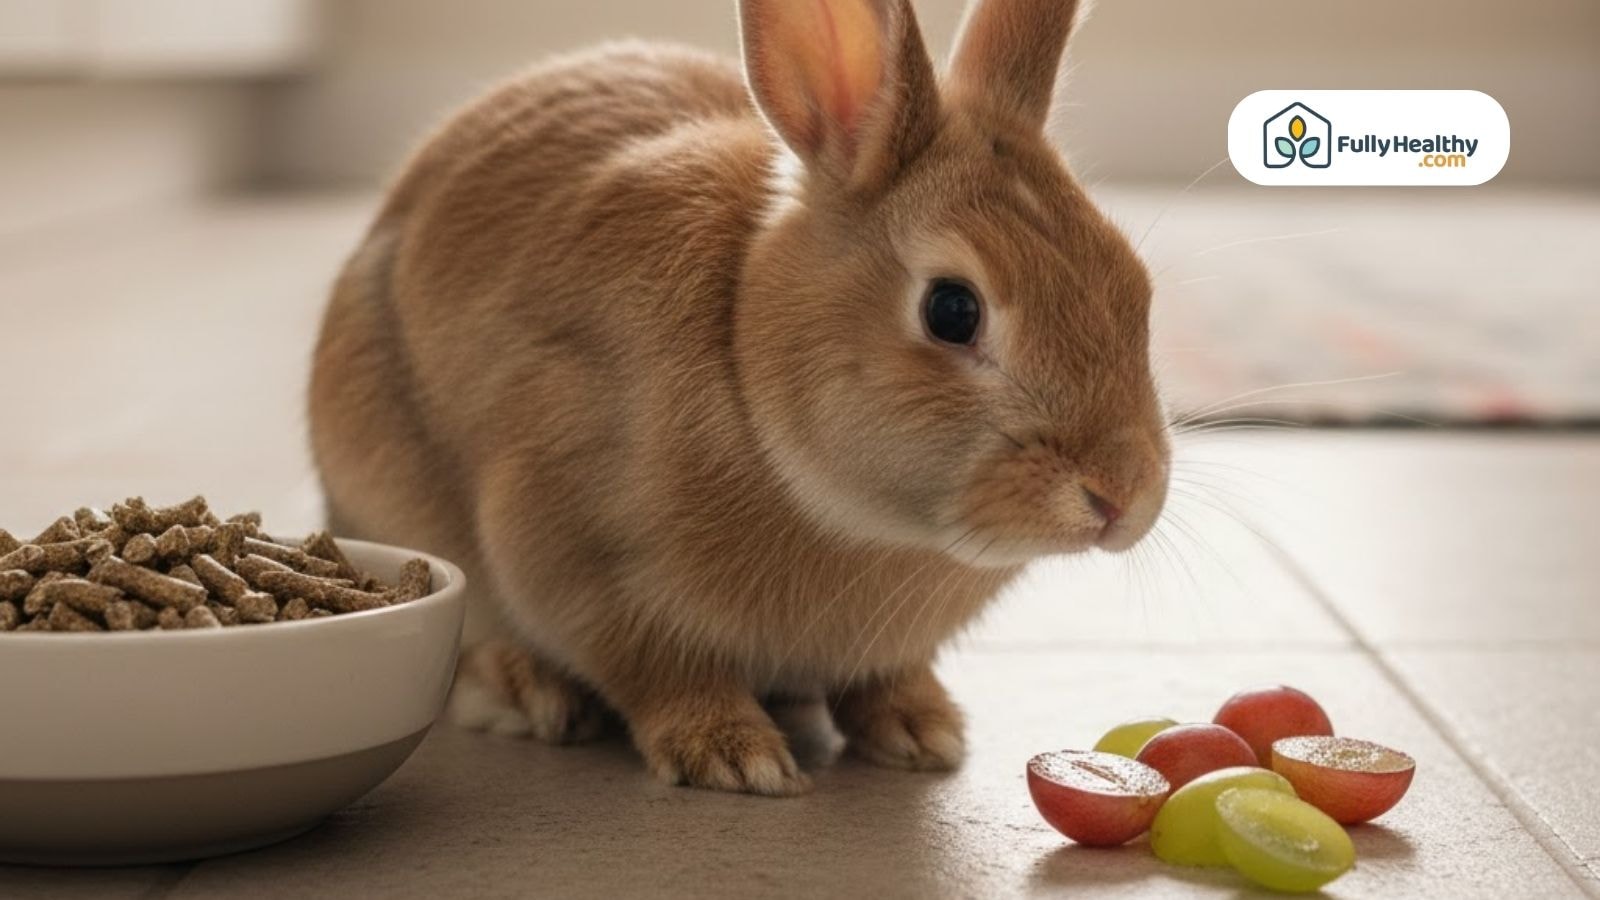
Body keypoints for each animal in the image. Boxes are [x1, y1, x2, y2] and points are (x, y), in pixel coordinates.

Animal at [308, 0, 1170, 797]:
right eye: (953, 310)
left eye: (1135, 286)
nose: (1122, 496)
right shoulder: (578, 561)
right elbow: (656, 669)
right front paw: (732, 754)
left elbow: (884, 679)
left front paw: (922, 731)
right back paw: (528, 692)